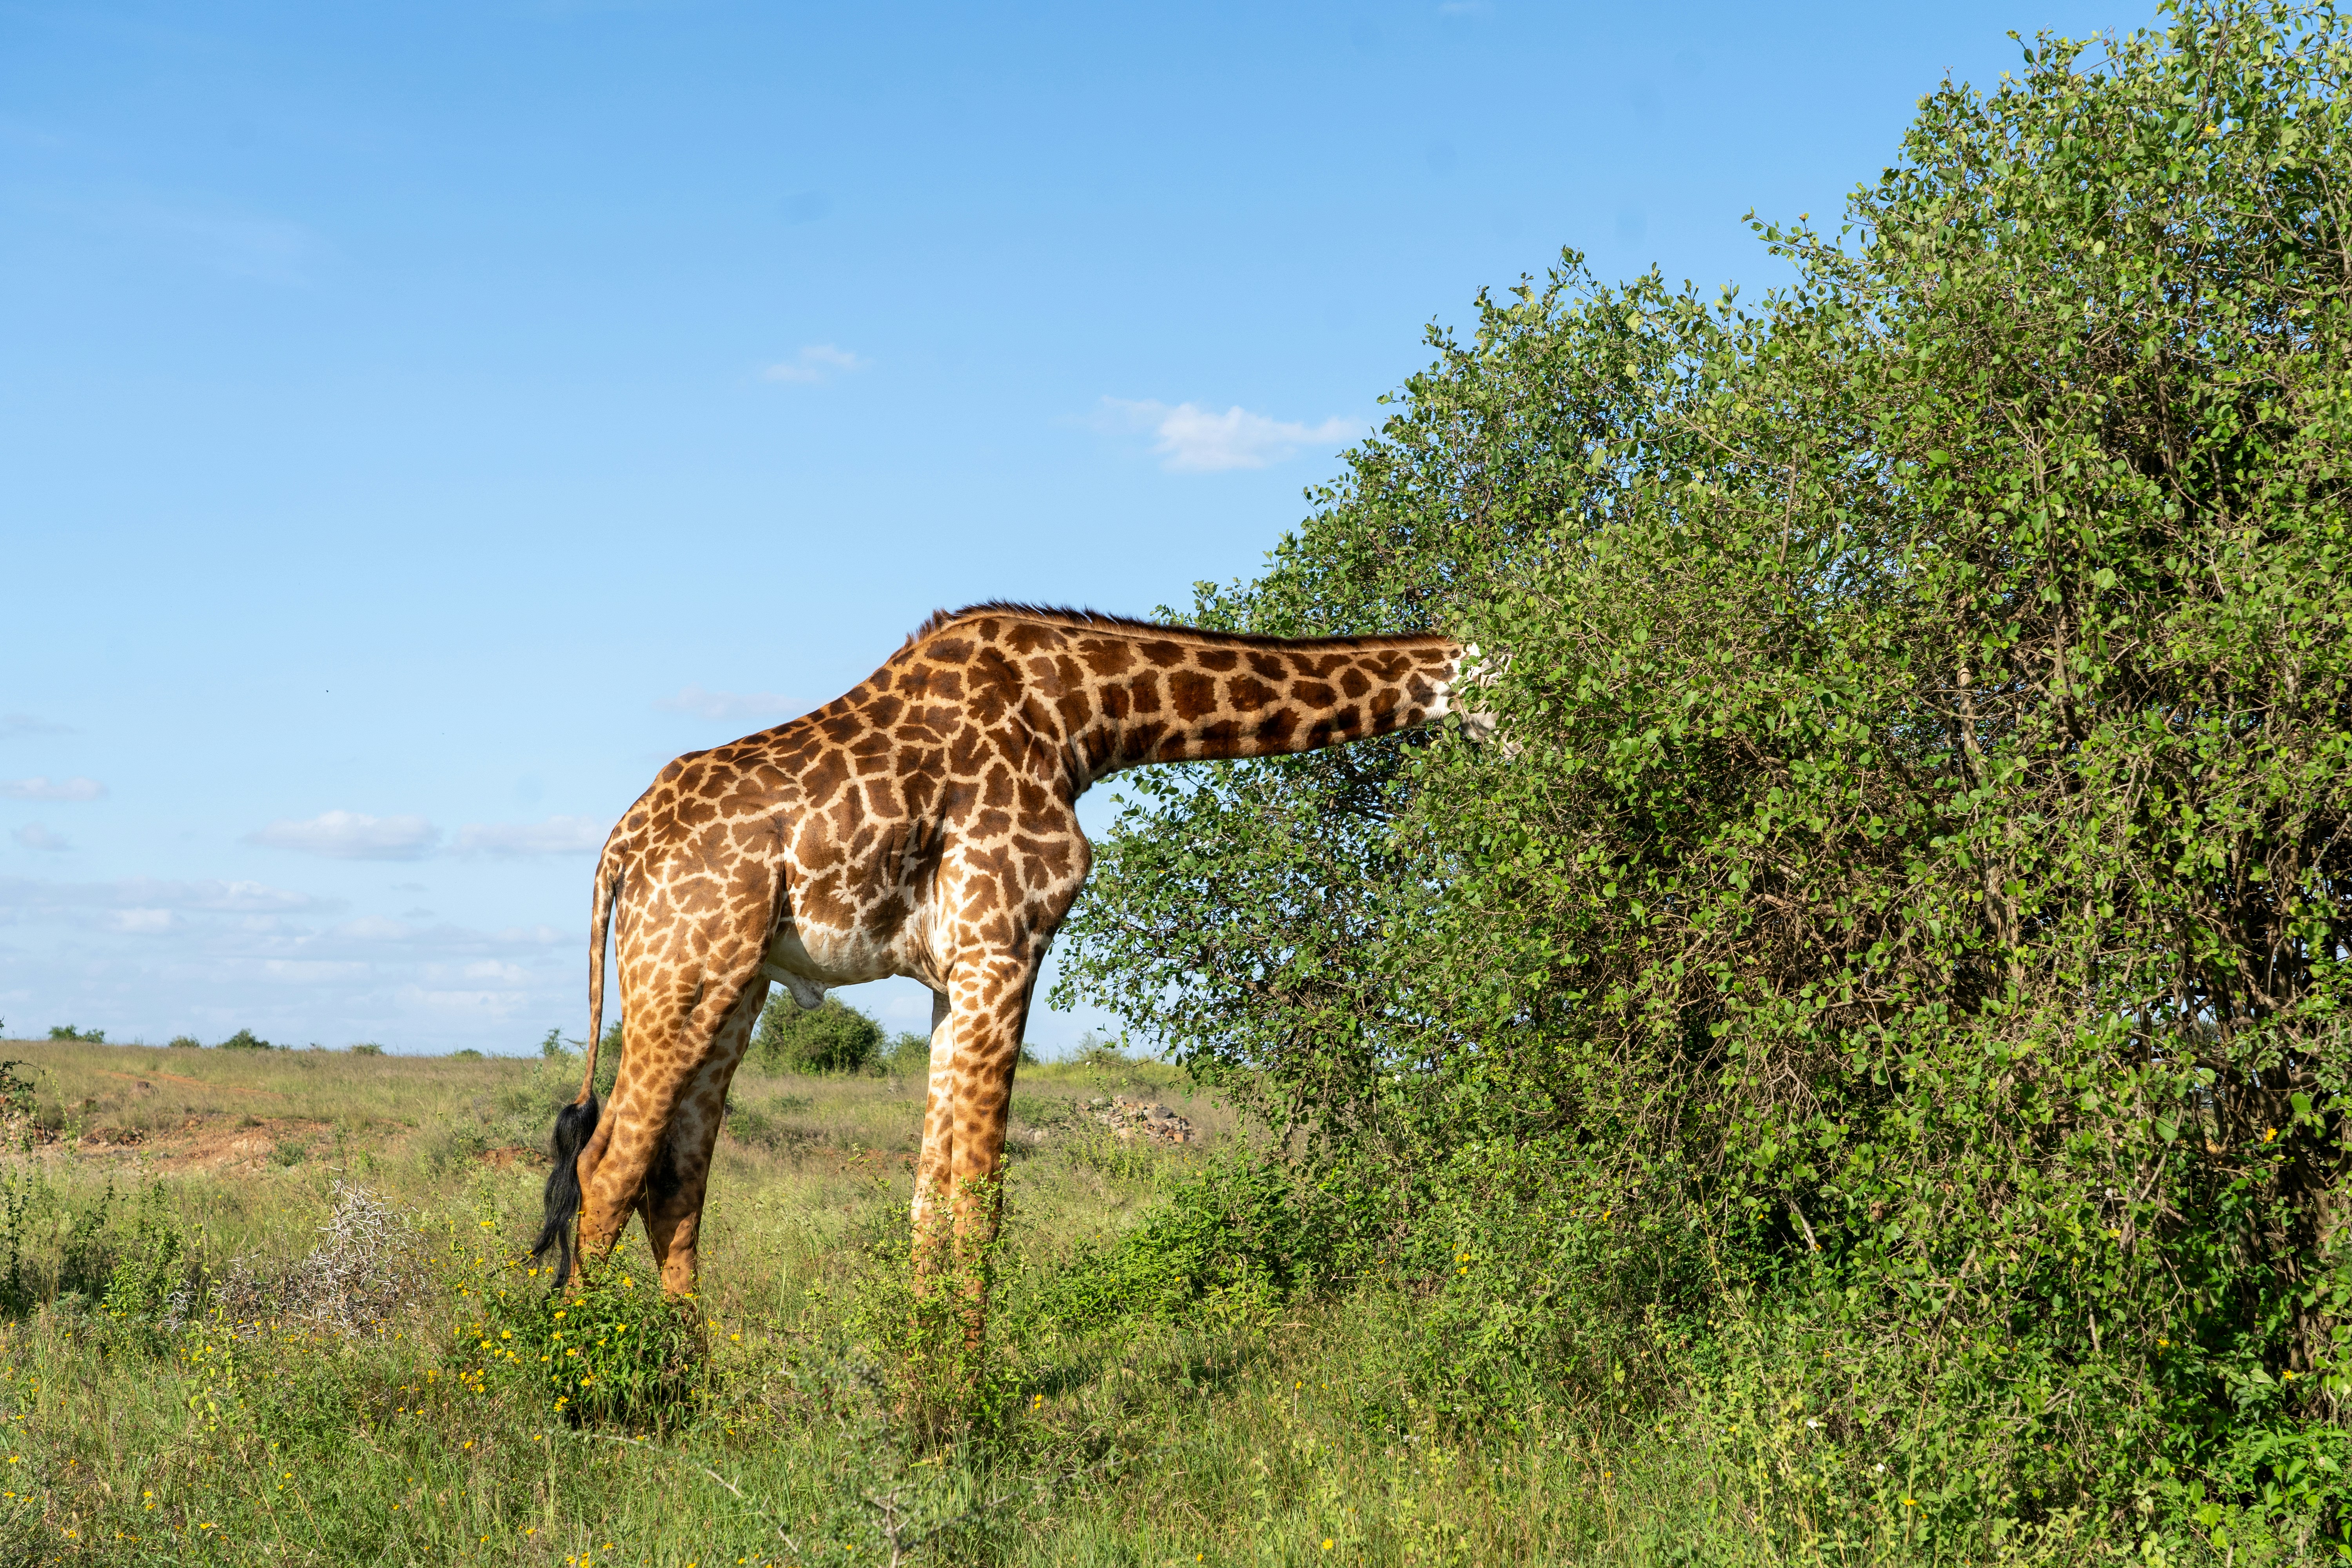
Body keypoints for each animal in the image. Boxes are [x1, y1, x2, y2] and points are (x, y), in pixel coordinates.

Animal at [533, 603, 1496, 1334]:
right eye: (1507, 676)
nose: (1526, 744)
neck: (1085, 721)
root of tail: (619, 849)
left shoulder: (952, 973)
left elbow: (929, 1204)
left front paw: (919, 1393)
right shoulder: (1008, 942)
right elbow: (982, 1204)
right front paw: (959, 1417)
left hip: (738, 985)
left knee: (674, 1180)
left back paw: (697, 1390)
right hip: (687, 966)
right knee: (607, 1169)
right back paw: (588, 1388)